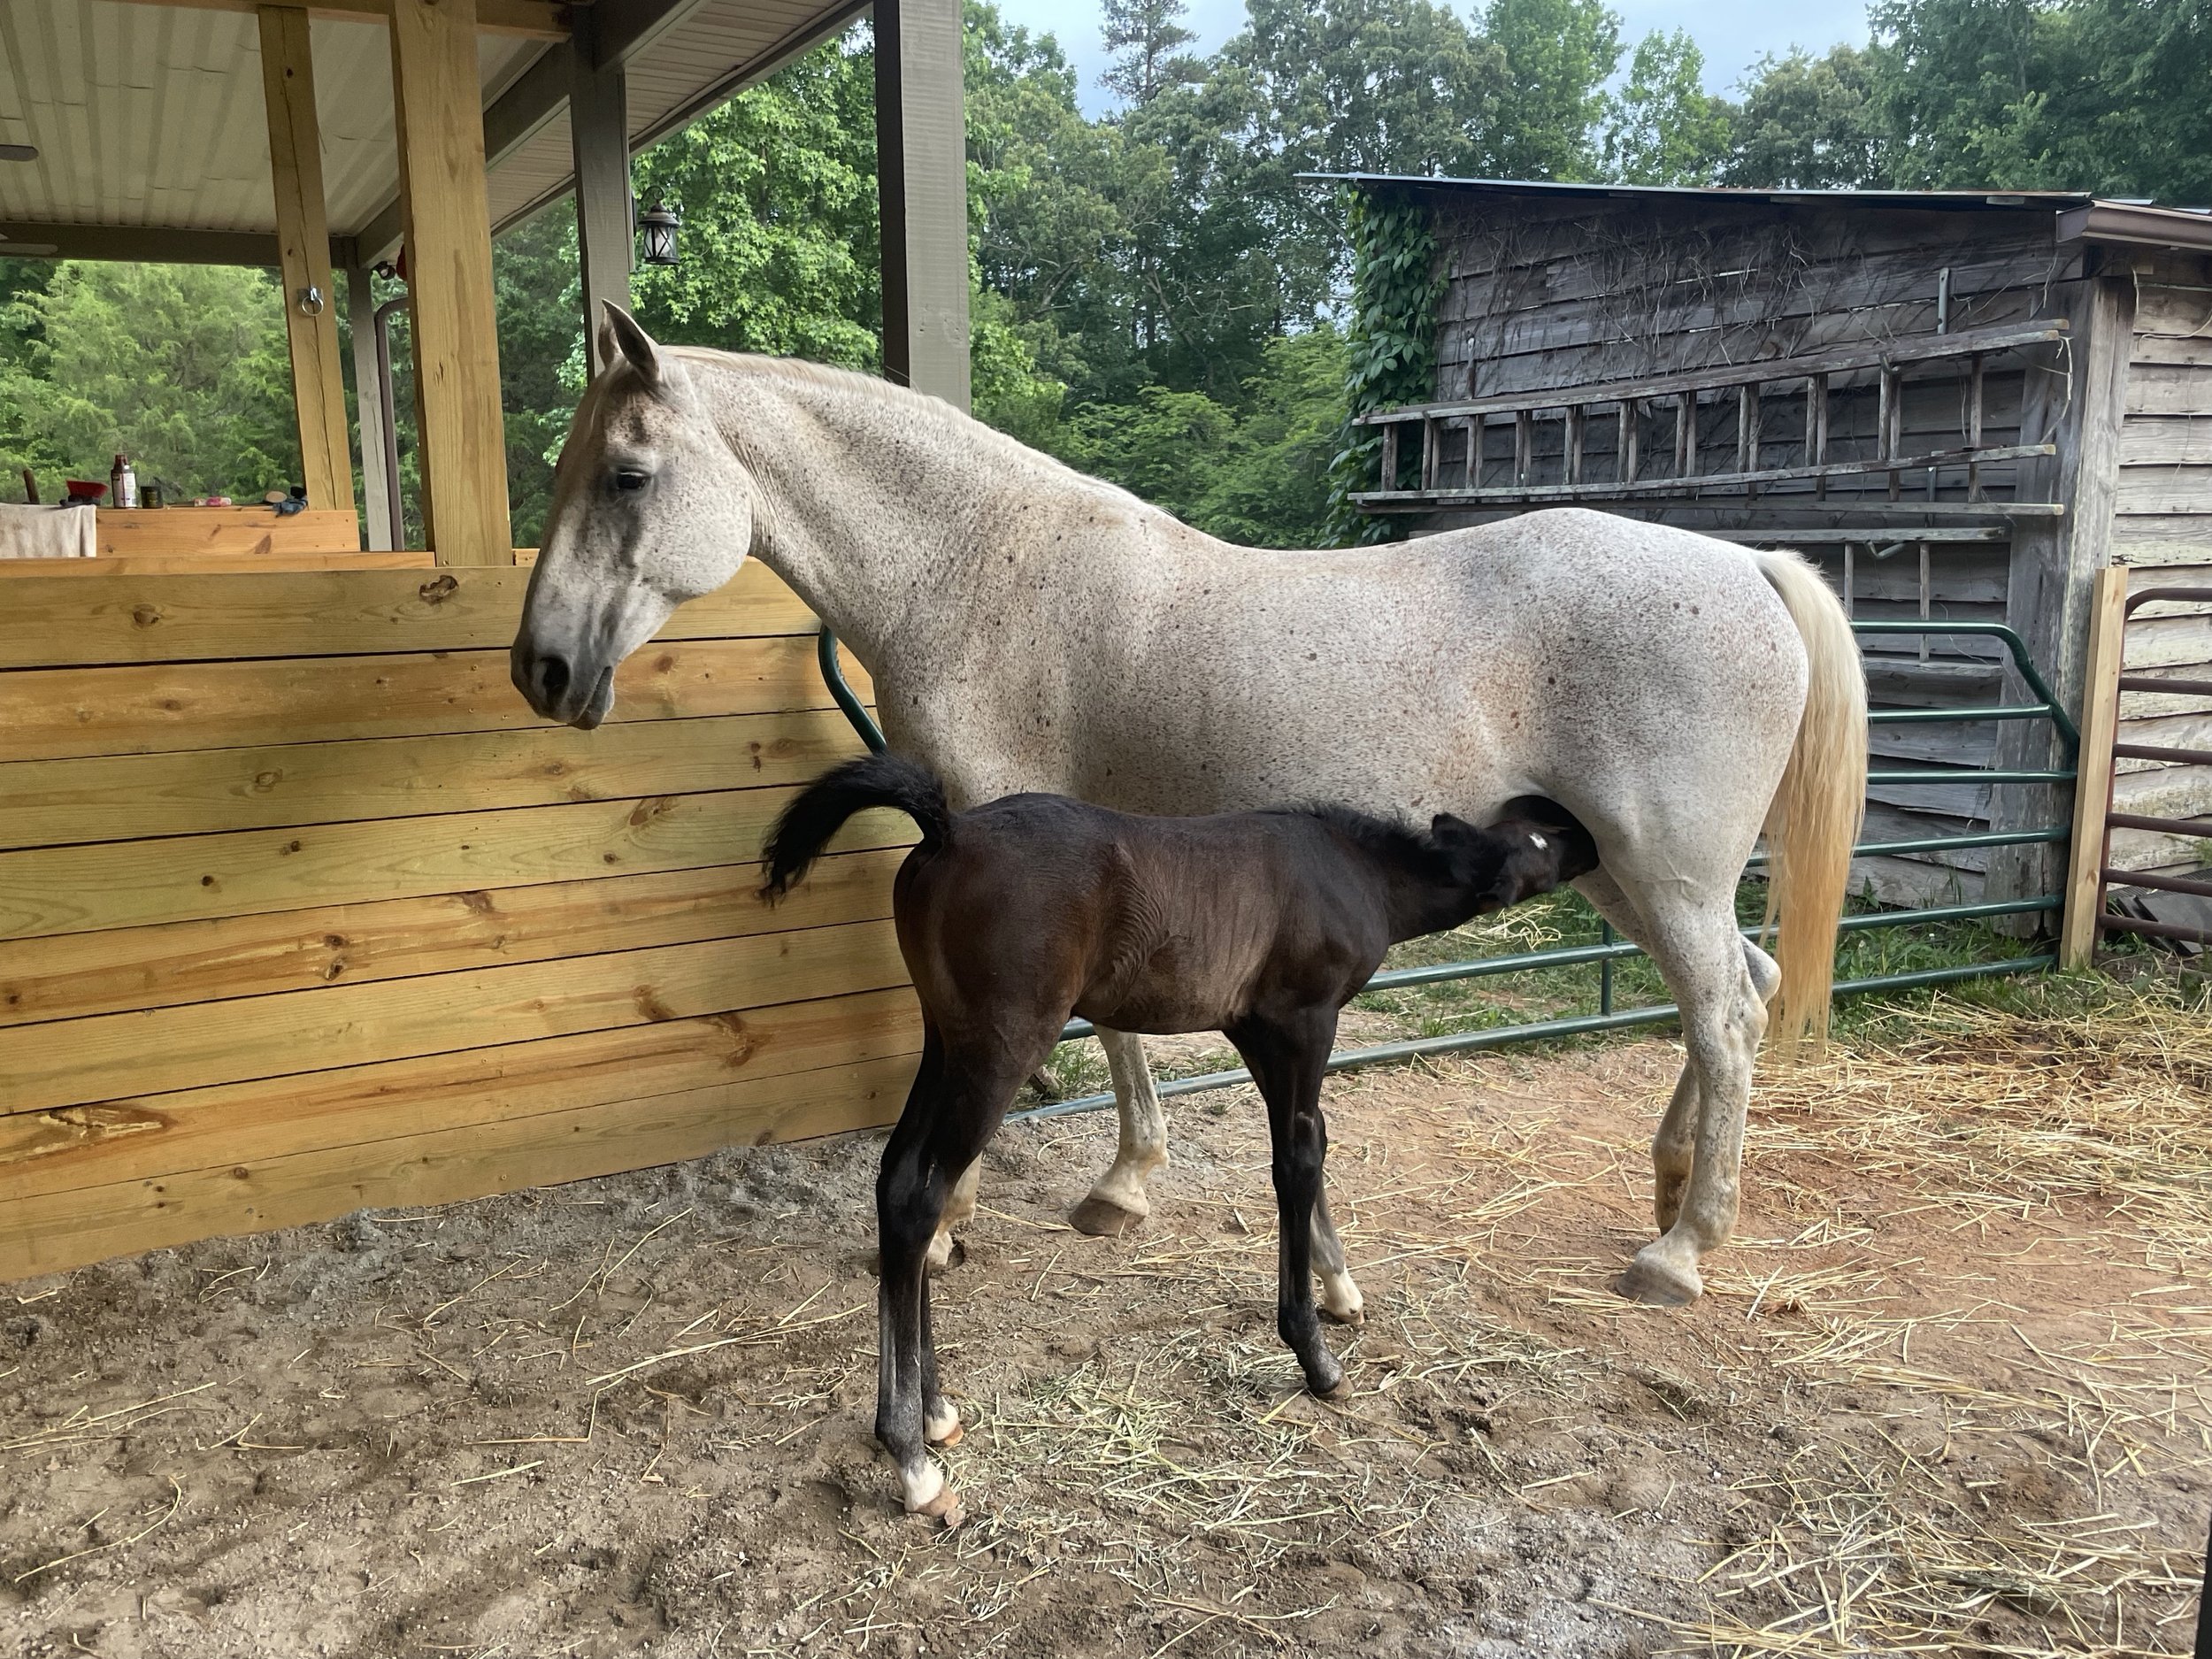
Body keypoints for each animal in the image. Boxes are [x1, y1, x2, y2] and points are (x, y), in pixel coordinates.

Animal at [510, 304, 1866, 1309]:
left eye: (627, 474)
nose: (542, 669)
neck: (979, 569)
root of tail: (1747, 566)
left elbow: (1090, 1031)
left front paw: (1006, 1209)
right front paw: (1124, 1184)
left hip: (1664, 870)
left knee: (1726, 1018)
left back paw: (1680, 1251)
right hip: (1623, 874)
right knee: (1733, 993)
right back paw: (1671, 1184)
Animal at [759, 753, 1599, 1518]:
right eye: (1539, 843)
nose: (1587, 840)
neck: (1354, 870)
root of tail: (949, 826)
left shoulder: (1257, 1032)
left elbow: (1309, 1148)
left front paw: (1339, 1288)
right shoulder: (1303, 1023)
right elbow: (1297, 1162)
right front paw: (1315, 1354)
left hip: (947, 1042)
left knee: (897, 1179)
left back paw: (935, 1413)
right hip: (1001, 1047)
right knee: (918, 1195)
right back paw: (912, 1459)